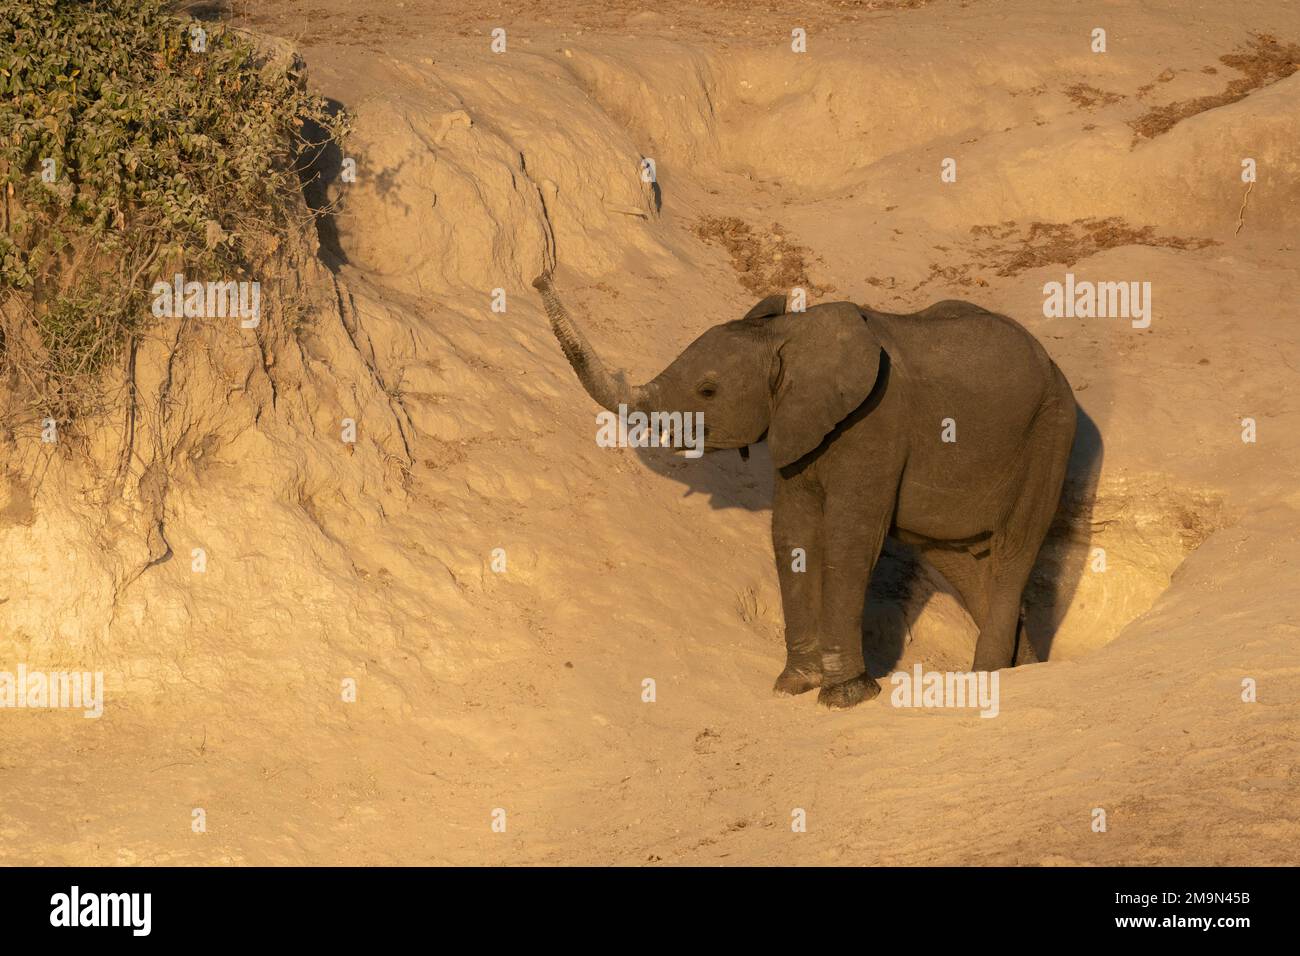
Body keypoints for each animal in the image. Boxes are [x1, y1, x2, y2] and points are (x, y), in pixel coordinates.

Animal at [533, 273, 1077, 709]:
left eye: (708, 391)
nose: (540, 277)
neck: (789, 333)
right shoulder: (800, 425)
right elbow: (792, 533)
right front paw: (793, 686)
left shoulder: (877, 422)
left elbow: (848, 539)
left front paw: (844, 696)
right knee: (959, 561)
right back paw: (1023, 669)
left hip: (1050, 431)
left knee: (1013, 551)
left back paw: (987, 676)